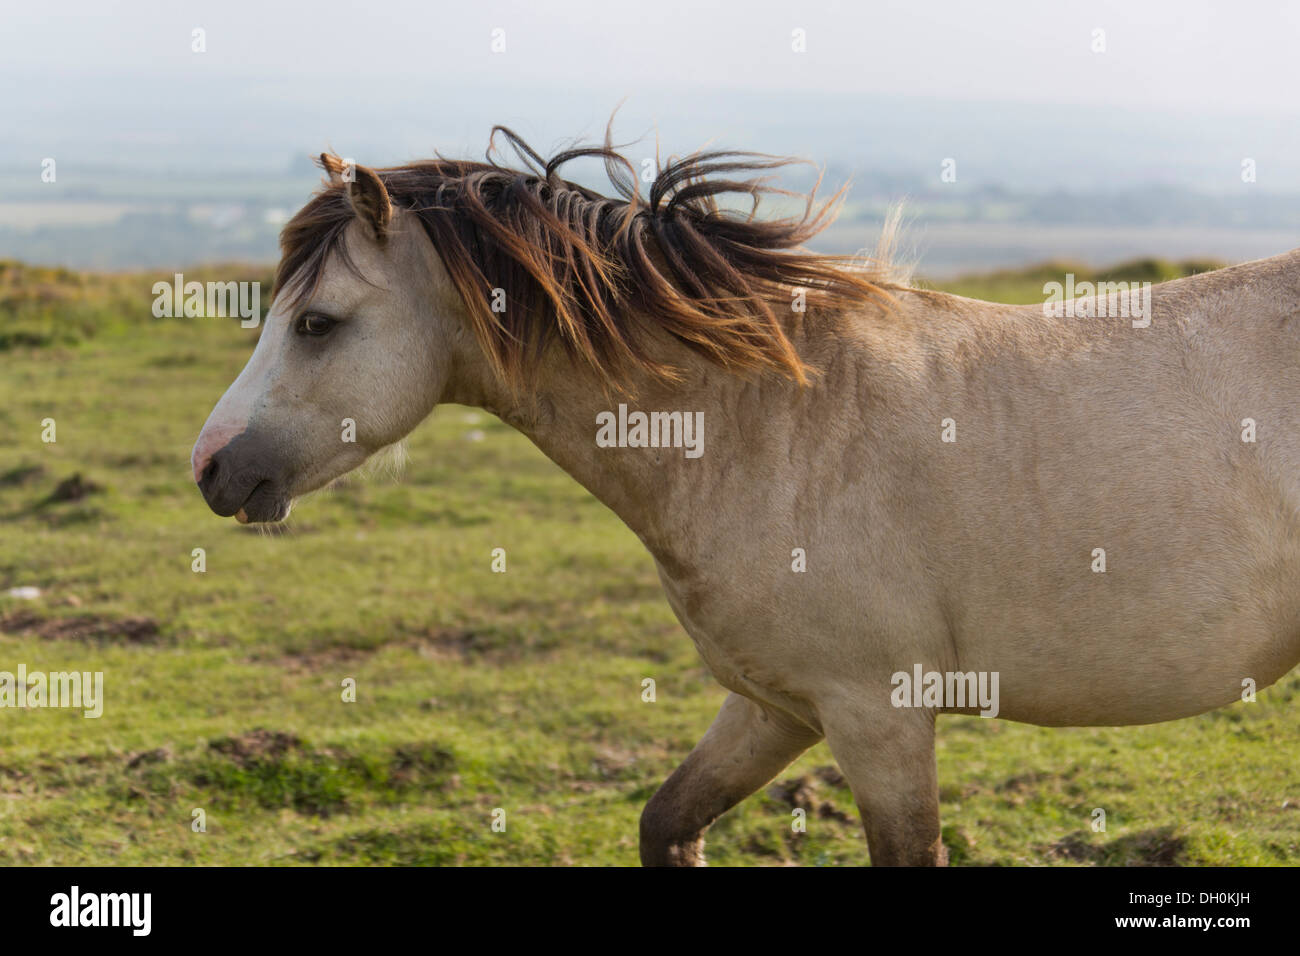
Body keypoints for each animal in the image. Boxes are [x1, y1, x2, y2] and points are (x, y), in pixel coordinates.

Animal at [192, 127, 1300, 866]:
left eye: (319, 324)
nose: (210, 467)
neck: (775, 425)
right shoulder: (774, 706)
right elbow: (666, 822)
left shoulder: (877, 716)